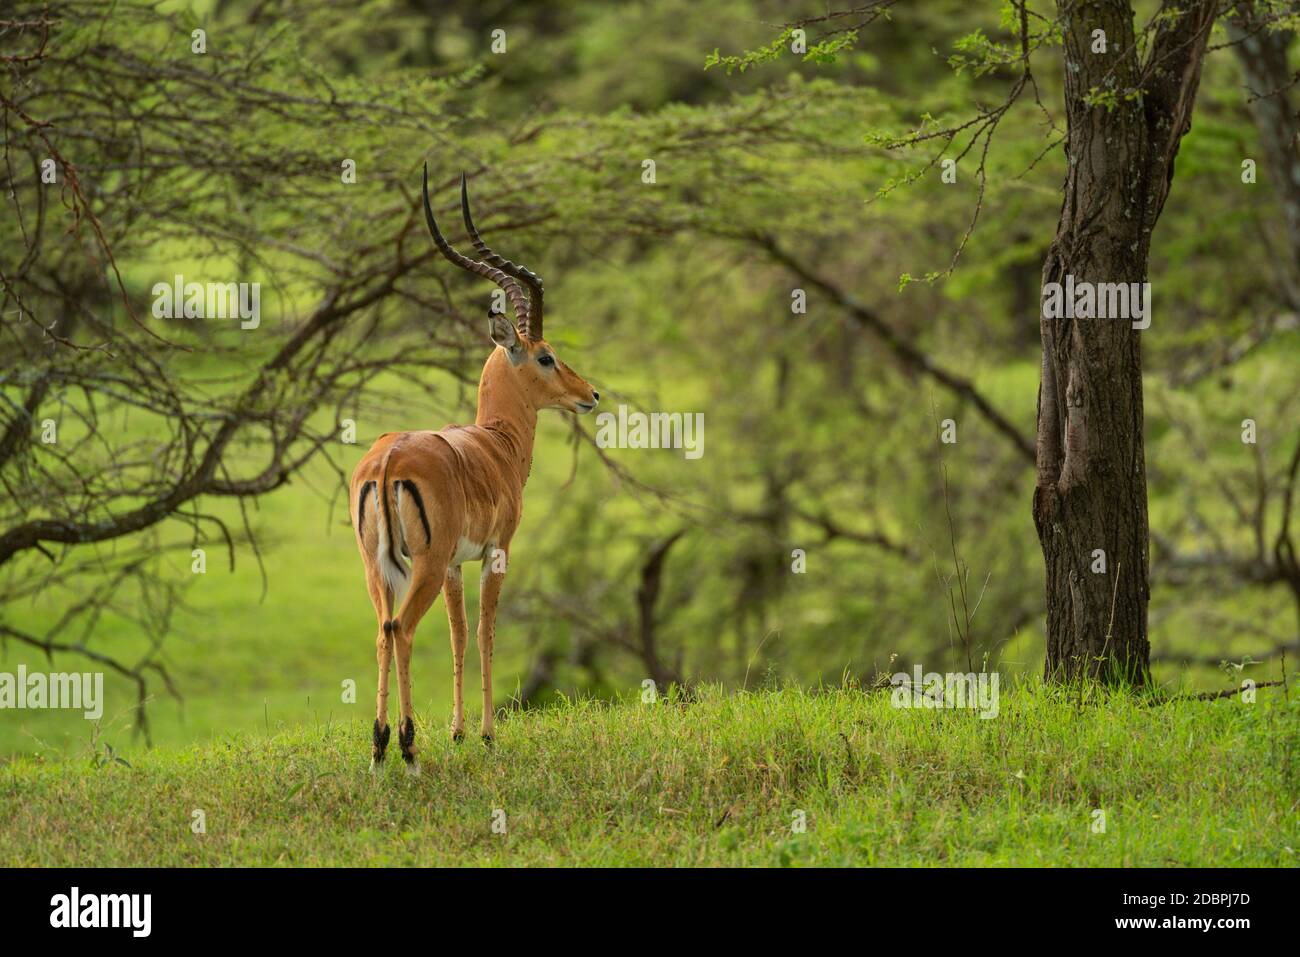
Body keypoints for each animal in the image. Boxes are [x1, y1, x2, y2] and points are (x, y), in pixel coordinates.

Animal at [349, 165, 599, 770]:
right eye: (546, 355)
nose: (591, 394)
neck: (496, 445)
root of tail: (388, 460)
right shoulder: (495, 552)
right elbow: (486, 632)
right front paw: (486, 734)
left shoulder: (457, 565)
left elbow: (459, 635)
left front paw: (460, 731)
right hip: (423, 564)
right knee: (402, 629)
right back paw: (408, 749)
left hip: (380, 565)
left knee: (382, 630)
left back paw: (379, 749)